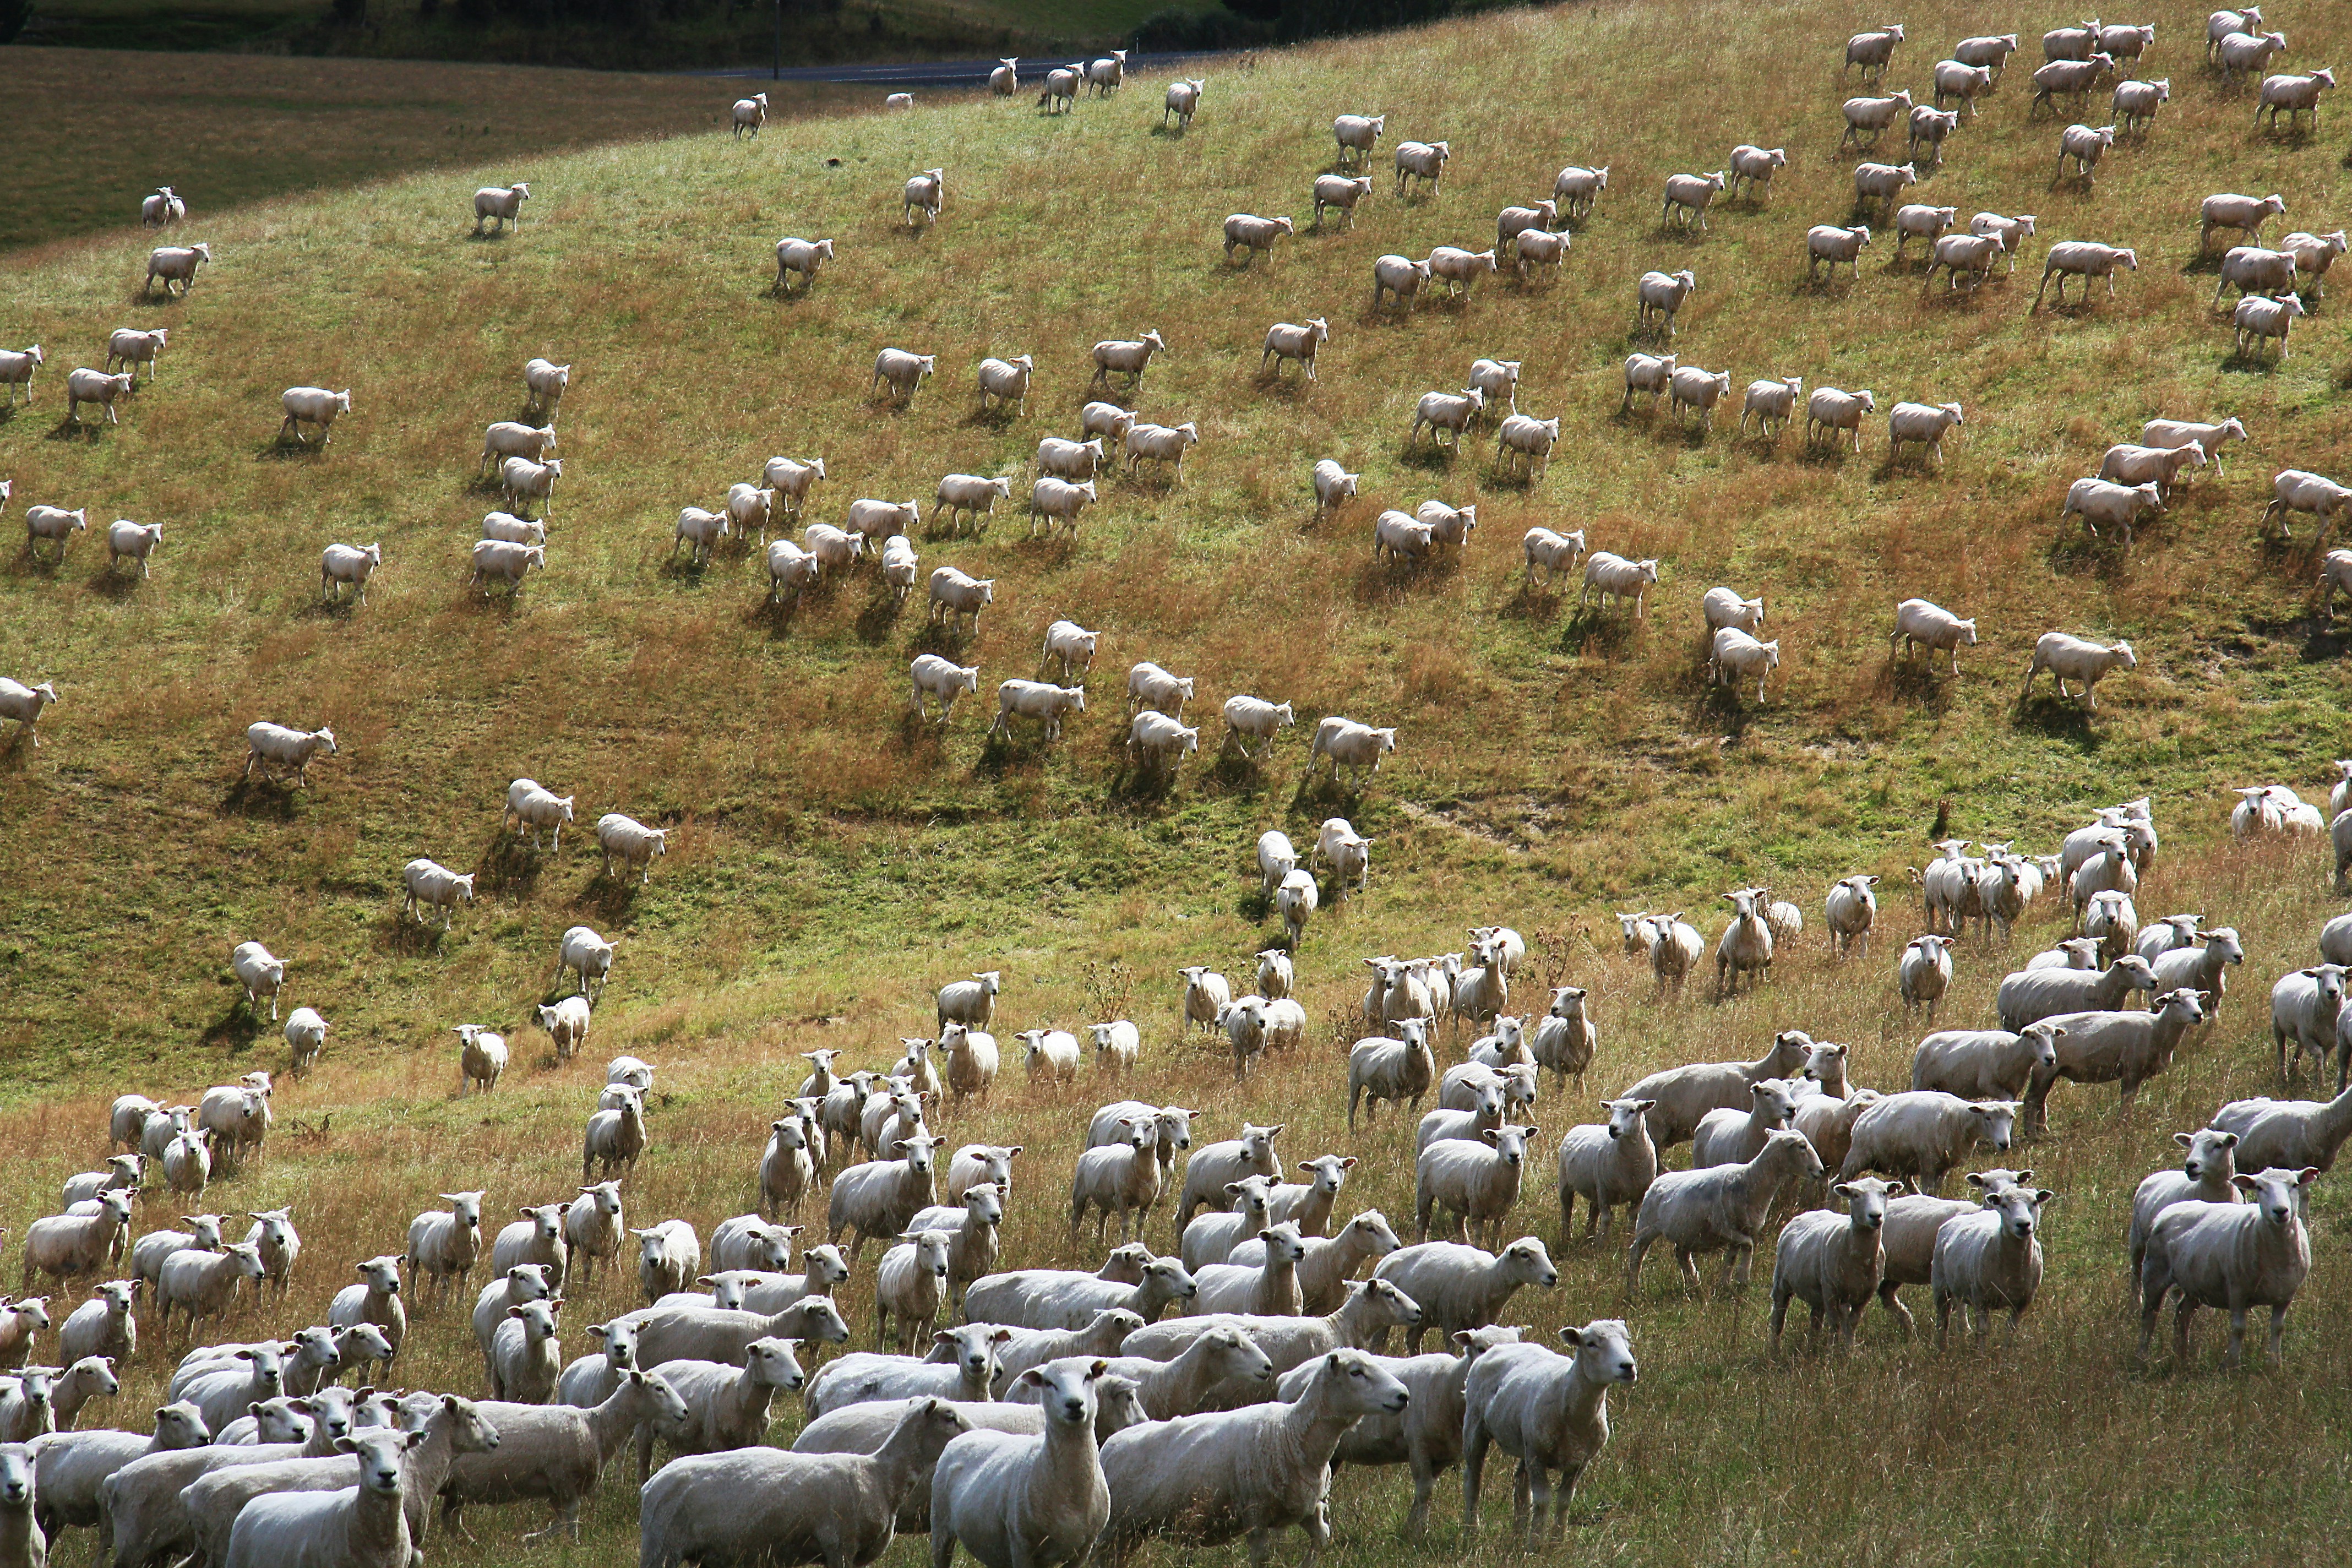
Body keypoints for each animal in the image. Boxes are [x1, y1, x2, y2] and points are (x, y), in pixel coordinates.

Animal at [1458, 1321, 1636, 1547]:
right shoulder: (1538, 1457)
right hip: (1475, 1424)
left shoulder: (1579, 1462)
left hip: (1526, 1441)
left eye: (1627, 1340)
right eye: (1591, 1344)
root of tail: (1500, 1347)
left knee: (1521, 1484)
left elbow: (1564, 1501)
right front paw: (1534, 1545)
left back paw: (1518, 1534)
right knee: (1473, 1479)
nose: (1628, 1366)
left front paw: (1557, 1543)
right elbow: (1543, 1502)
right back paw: (1471, 1532)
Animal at [1627, 1131, 1824, 1294]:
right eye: (1802, 1146)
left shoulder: (1738, 1232)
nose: (1820, 1171)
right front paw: (1743, 1278)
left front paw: (1725, 1284)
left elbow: (1732, 1257)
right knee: (1637, 1253)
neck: (1751, 1181)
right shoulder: (1724, 1227)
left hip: (1685, 1232)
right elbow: (1749, 1245)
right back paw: (1633, 1288)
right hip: (1647, 1226)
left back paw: (1693, 1284)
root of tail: (1657, 1181)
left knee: (1682, 1255)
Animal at [2022, 632, 2137, 709]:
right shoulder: (2086, 675)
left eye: (2131, 651)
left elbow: (2089, 690)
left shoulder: (2093, 677)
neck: (2102, 659)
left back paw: (2063, 694)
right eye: (2122, 654)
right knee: (2031, 674)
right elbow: (2090, 691)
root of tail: (2043, 637)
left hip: (2060, 666)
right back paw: (2027, 690)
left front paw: (2077, 698)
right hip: (2040, 660)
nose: (2134, 664)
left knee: (2058, 679)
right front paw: (2092, 706)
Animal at [2233, 293, 2307, 359]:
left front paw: (2286, 357)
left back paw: (2246, 352)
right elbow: (2262, 346)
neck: (2277, 314)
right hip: (2239, 322)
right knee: (2238, 333)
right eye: (2290, 304)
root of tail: (2248, 297)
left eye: (2300, 302)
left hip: (2254, 327)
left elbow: (2284, 345)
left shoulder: (2285, 332)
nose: (2302, 312)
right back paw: (2239, 348)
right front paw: (2258, 358)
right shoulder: (2263, 333)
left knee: (2248, 336)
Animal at [2256, 68, 2336, 132]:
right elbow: (2294, 117)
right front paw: (2291, 129)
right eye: (2322, 77)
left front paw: (2315, 128)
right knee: (2259, 111)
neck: (2309, 87)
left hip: (2279, 104)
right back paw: (2257, 125)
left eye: (2331, 75)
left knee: (2273, 112)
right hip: (2265, 99)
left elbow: (2315, 113)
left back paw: (2275, 126)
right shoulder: (2294, 105)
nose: (2333, 84)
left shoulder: (2313, 105)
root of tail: (2270, 78)